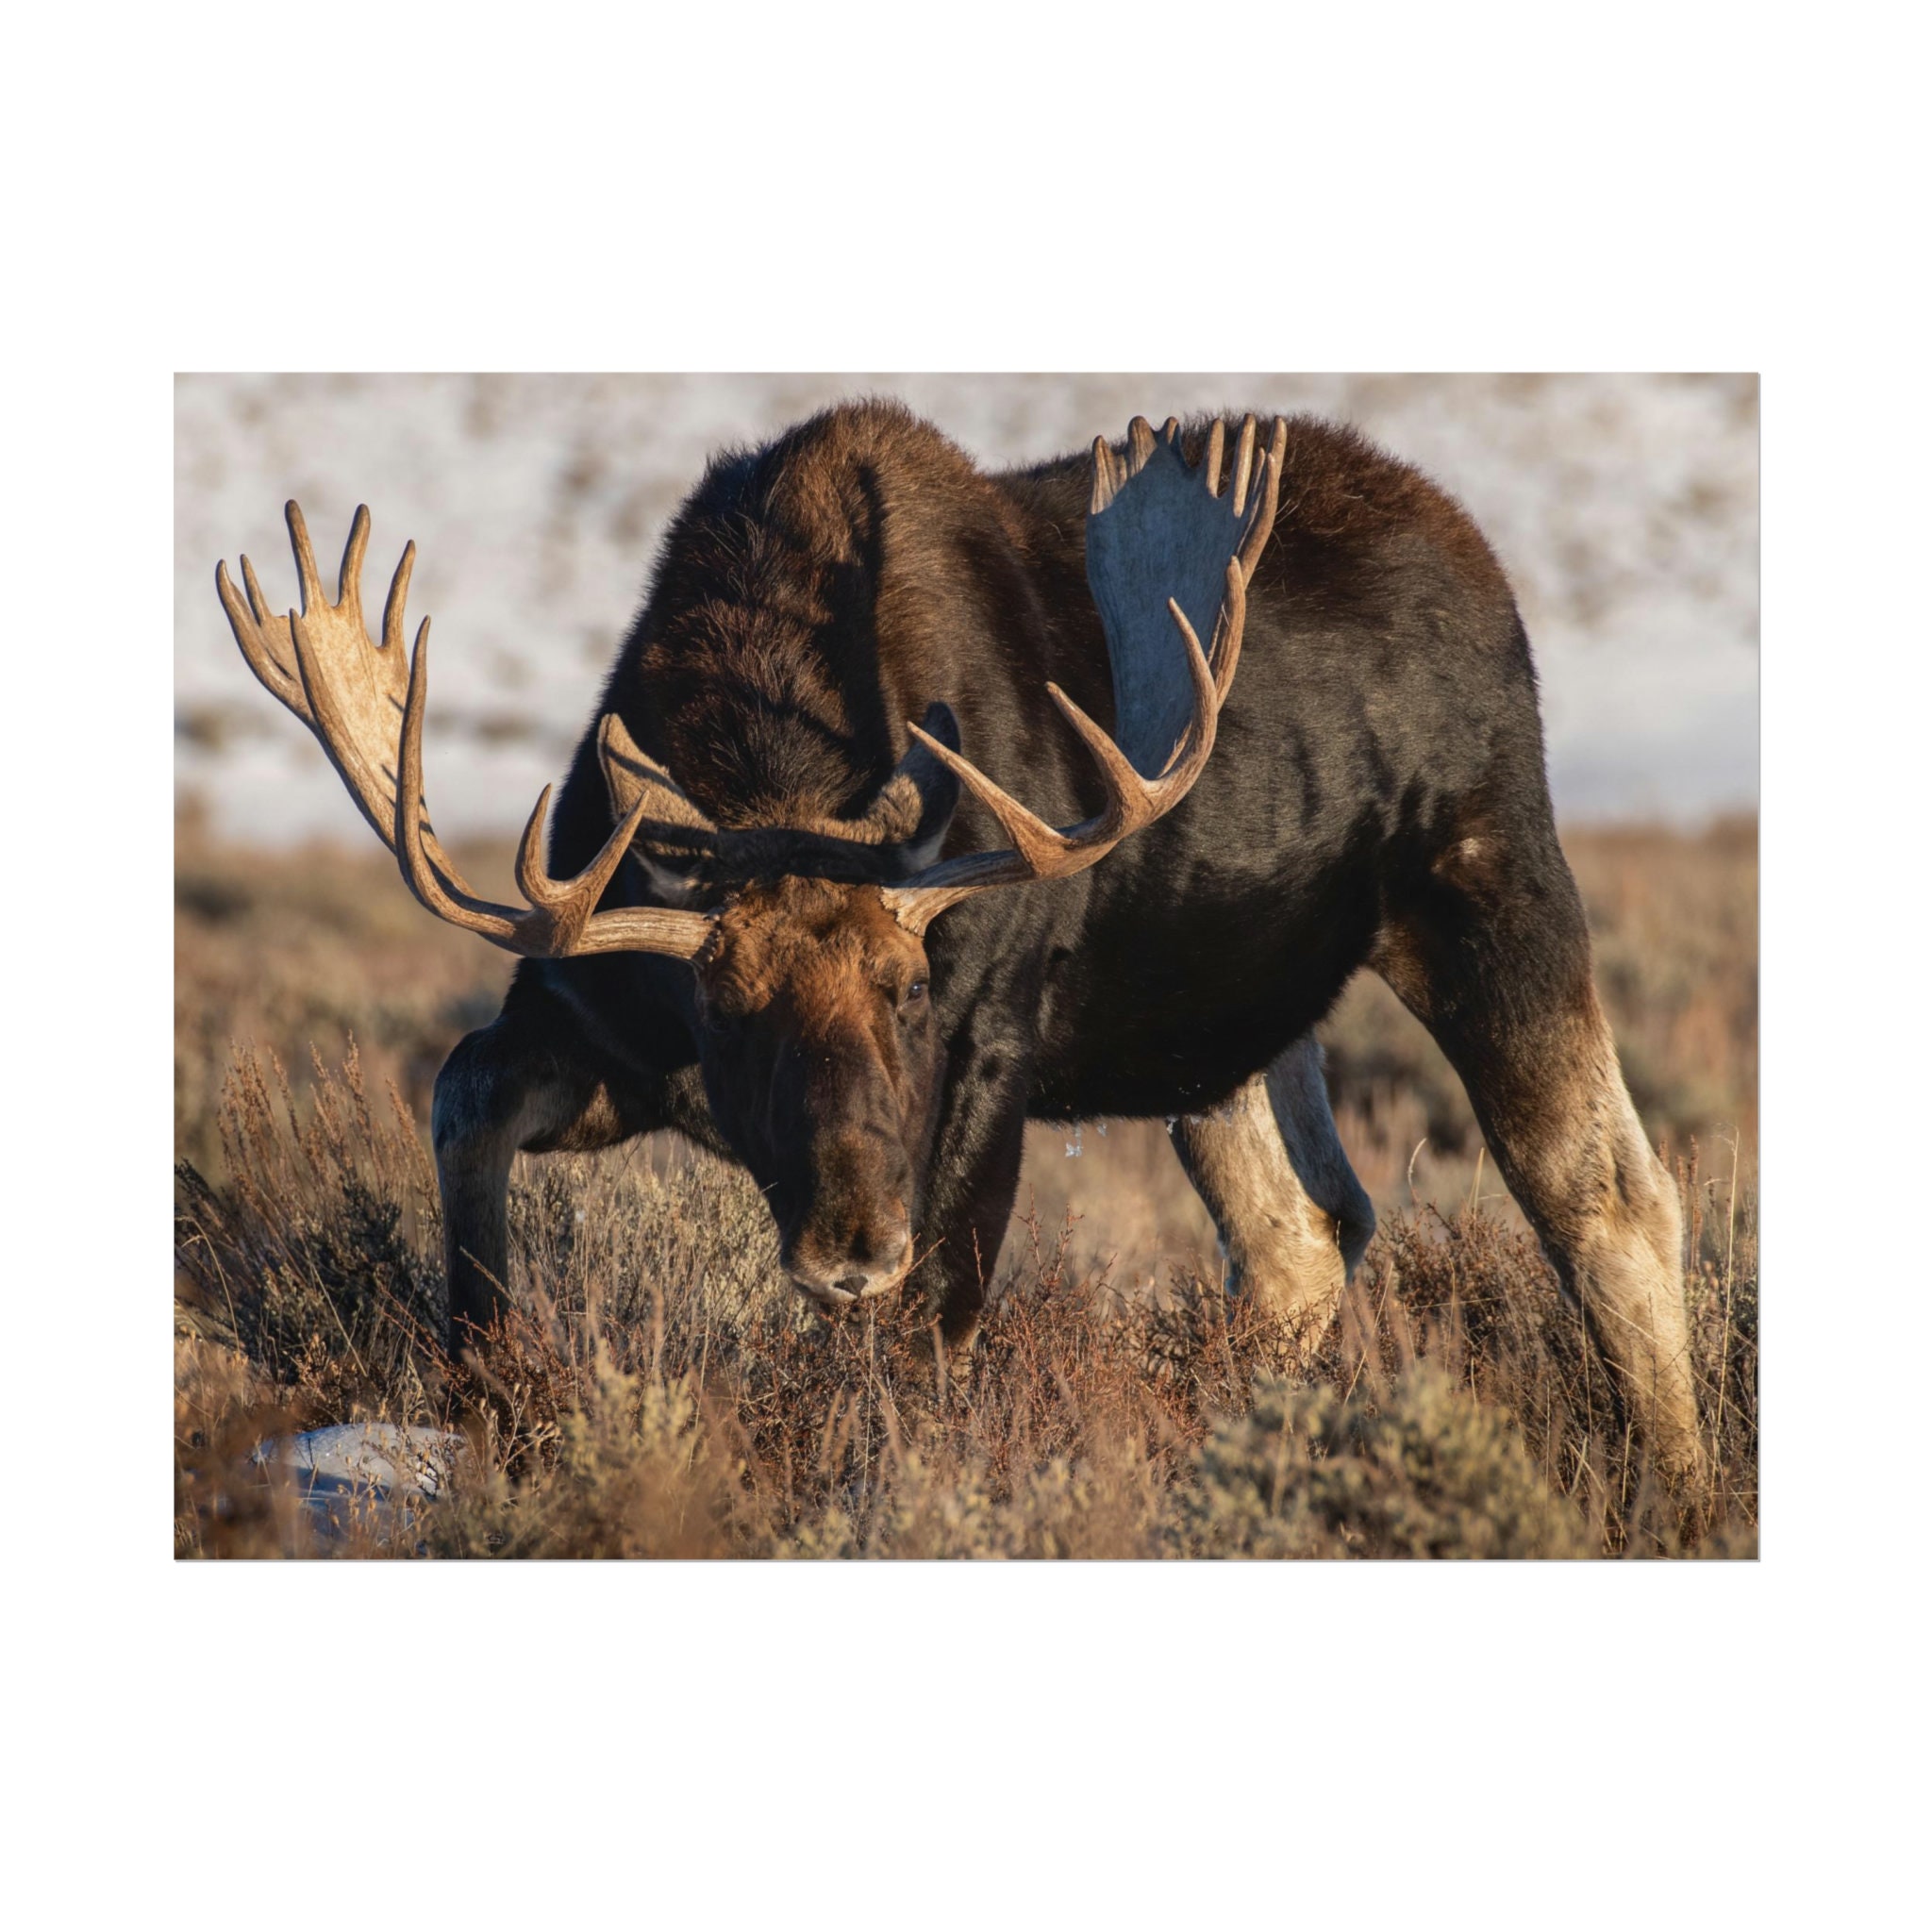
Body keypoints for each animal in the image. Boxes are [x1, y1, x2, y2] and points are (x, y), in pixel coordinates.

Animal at [217, 400, 1703, 1477]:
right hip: (1224, 1029)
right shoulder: (602, 1027)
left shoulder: (993, 1058)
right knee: (1304, 1226)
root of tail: (1478, 551)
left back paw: (1672, 1479)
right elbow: (461, 1093)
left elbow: (933, 1324)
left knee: (1604, 1193)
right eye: (721, 1005)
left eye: (909, 986)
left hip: (1487, 874)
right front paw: (479, 1378)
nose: (844, 1244)